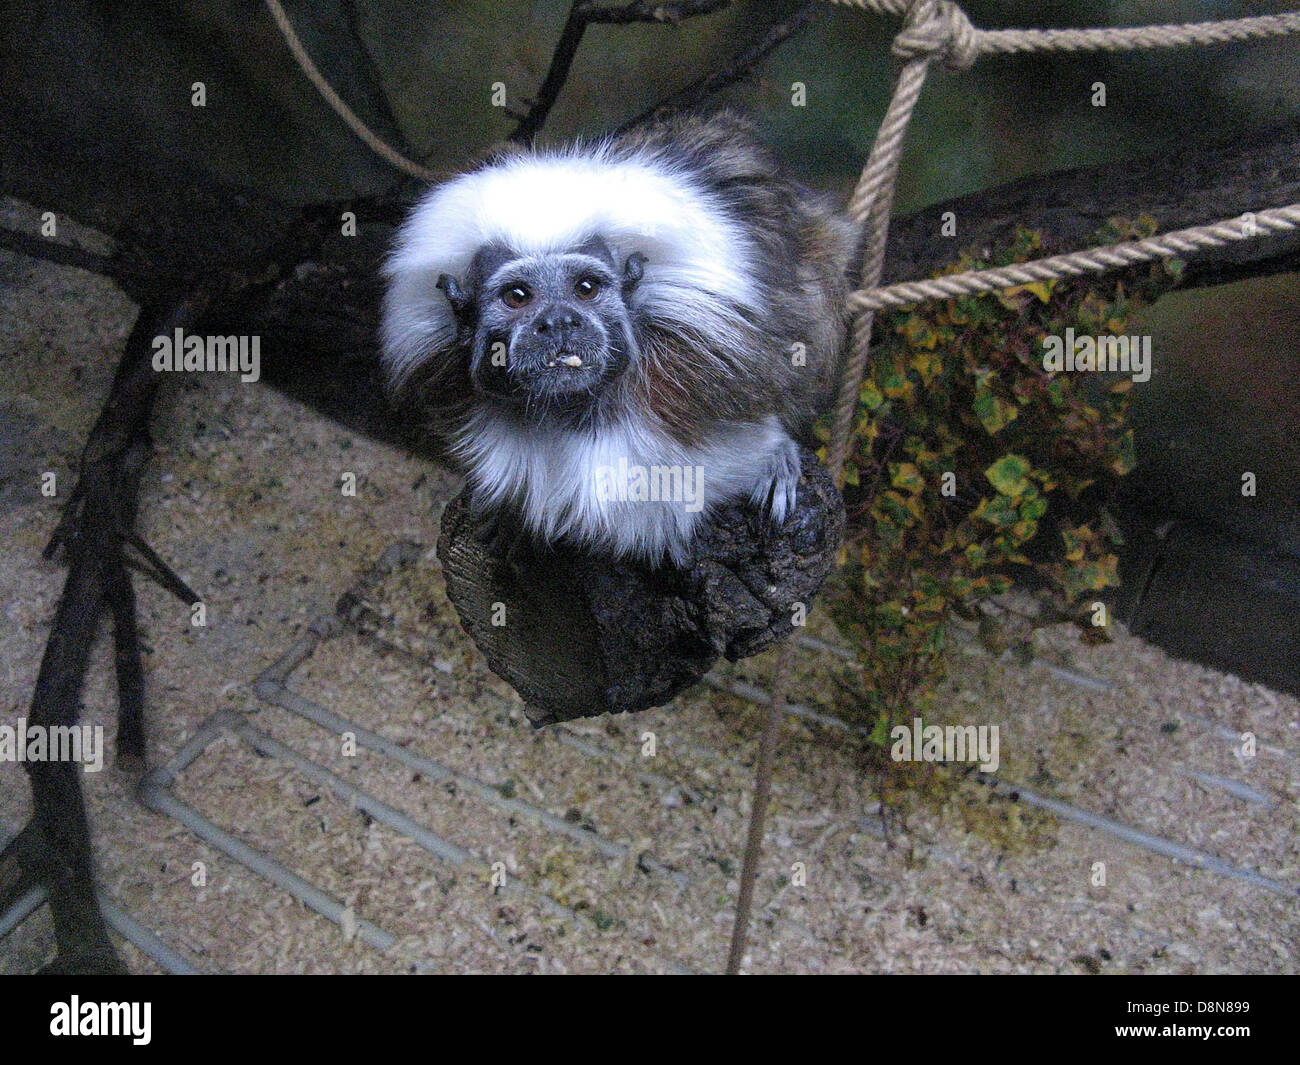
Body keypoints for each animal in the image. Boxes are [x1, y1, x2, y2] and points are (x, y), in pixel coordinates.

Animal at [381, 111, 858, 567]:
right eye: (517, 296)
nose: (558, 322)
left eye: (586, 288)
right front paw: (510, 518)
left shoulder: (704, 368)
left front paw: (774, 457)